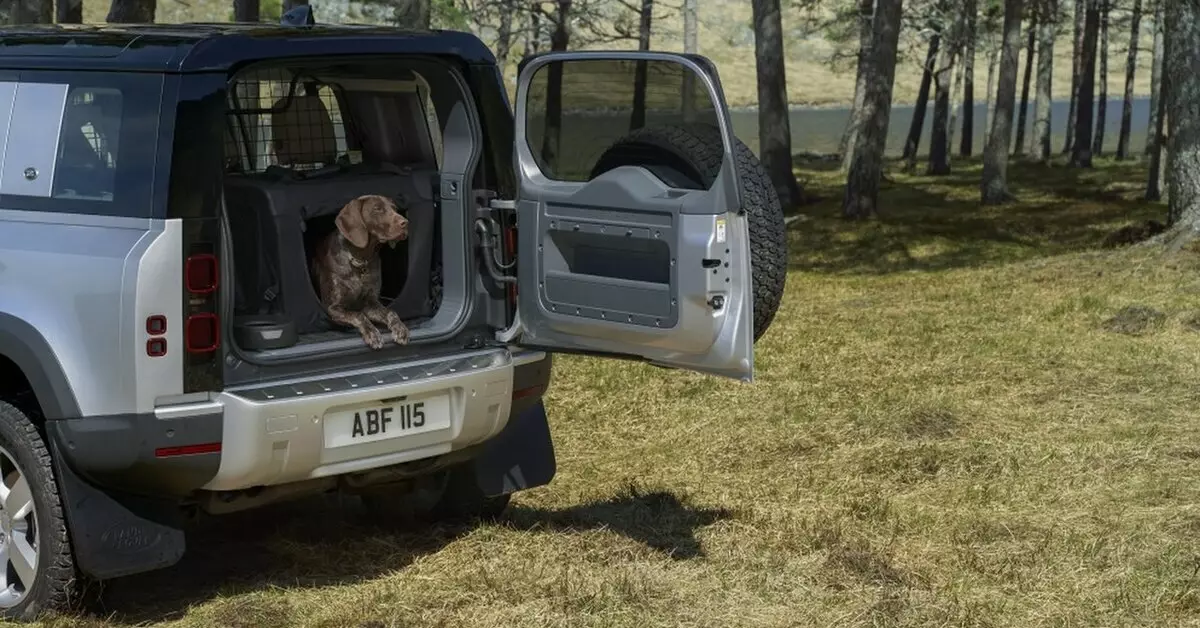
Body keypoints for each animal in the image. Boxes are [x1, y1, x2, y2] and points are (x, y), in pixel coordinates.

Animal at [312, 195, 410, 348]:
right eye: (377, 209)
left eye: (394, 208)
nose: (405, 223)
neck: (360, 260)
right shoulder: (333, 308)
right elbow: (358, 315)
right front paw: (372, 333)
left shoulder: (370, 304)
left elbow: (391, 312)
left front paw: (400, 329)